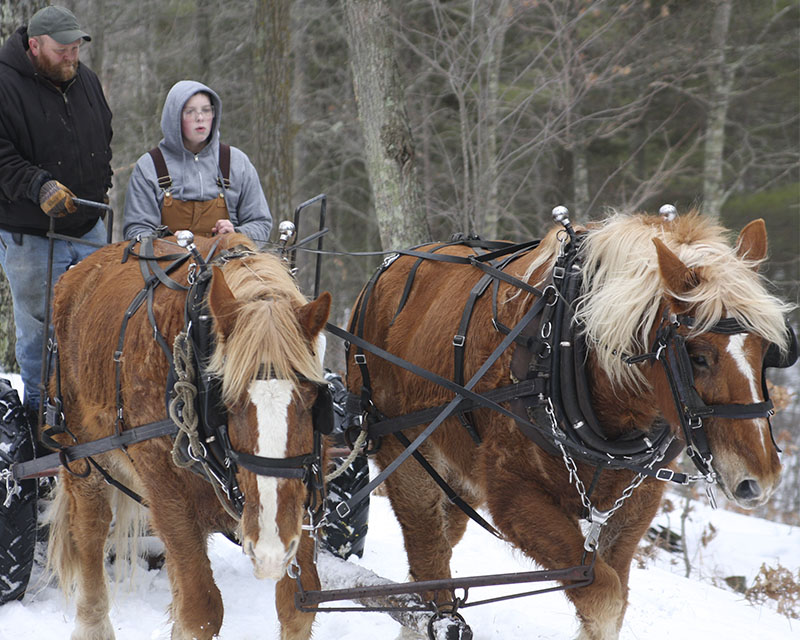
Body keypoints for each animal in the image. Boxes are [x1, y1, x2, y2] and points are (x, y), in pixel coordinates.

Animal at [45, 232, 330, 640]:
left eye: (311, 397)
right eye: (225, 400)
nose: (270, 549)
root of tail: (78, 273)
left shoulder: (301, 497)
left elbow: (298, 605)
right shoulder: (165, 486)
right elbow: (201, 609)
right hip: (83, 452)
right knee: (90, 530)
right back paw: (92, 624)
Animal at [346, 211, 794, 640]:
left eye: (767, 350)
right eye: (698, 356)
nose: (760, 479)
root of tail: (387, 268)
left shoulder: (635, 504)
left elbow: (612, 597)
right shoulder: (515, 496)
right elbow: (604, 597)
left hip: (457, 475)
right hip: (404, 452)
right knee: (428, 559)